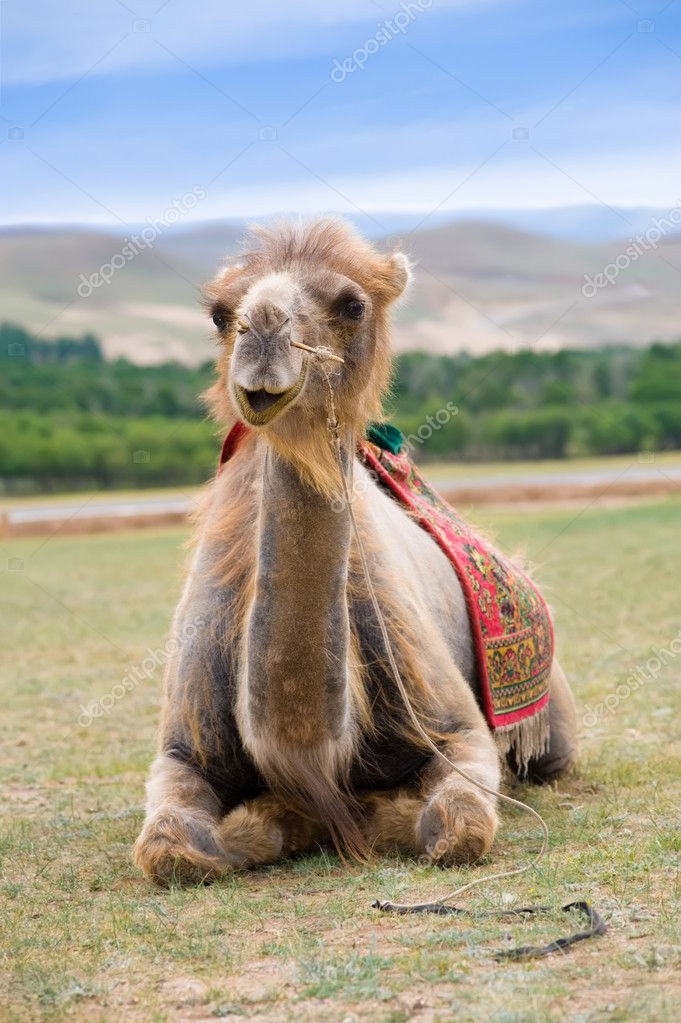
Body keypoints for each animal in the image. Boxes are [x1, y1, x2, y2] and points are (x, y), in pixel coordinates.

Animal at [134, 219, 578, 884]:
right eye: (219, 314)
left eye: (352, 305)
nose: (262, 330)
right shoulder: (181, 749)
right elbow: (169, 851)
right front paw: (267, 823)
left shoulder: (457, 729)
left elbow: (459, 827)